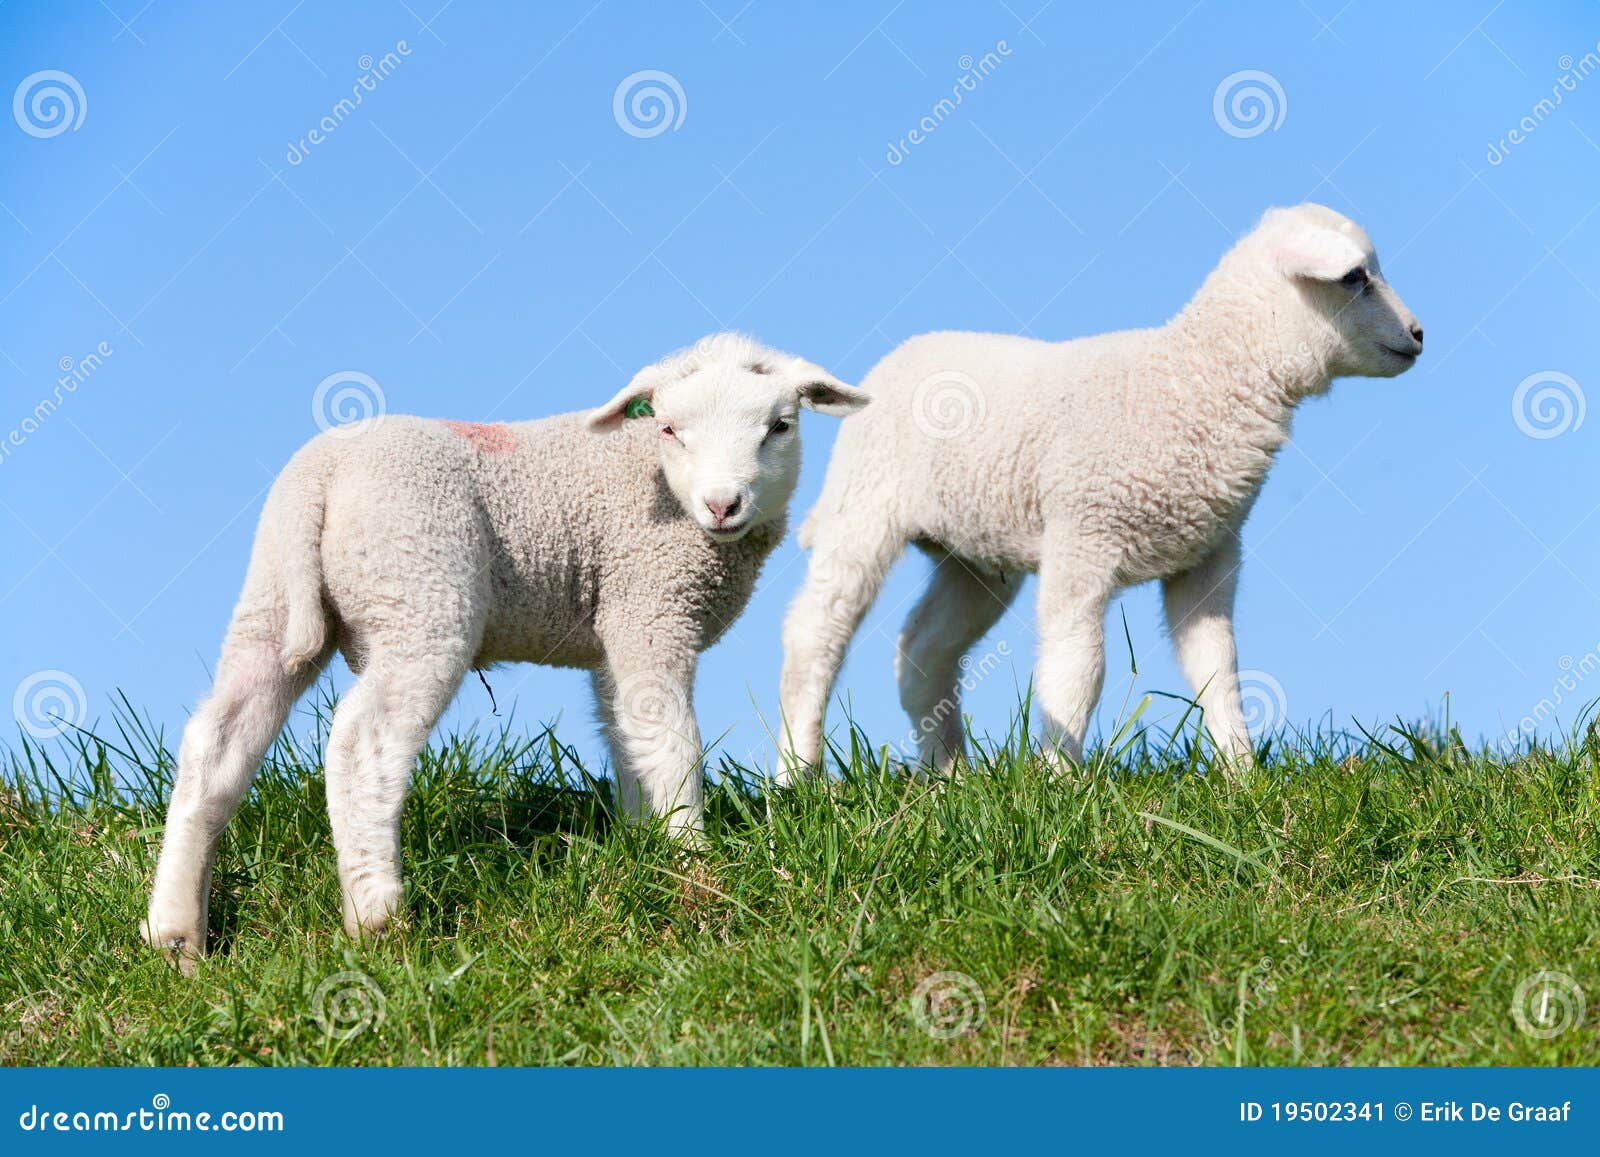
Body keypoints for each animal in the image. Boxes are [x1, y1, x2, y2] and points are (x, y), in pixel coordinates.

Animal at [142, 332, 866, 965]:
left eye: (780, 426)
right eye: (669, 429)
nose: (723, 504)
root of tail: (320, 475)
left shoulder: (614, 629)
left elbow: (628, 739)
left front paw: (646, 847)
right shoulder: (650, 607)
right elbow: (671, 741)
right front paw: (694, 861)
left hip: (271, 600)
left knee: (217, 742)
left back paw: (177, 937)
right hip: (421, 595)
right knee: (361, 743)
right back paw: (378, 917)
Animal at [778, 204, 1423, 776]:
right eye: (1356, 277)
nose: (1419, 334)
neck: (1200, 379)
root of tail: (905, 351)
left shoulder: (1208, 555)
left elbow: (1219, 670)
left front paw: (1242, 779)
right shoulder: (1083, 536)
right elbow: (1077, 673)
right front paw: (1059, 784)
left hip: (976, 555)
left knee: (925, 649)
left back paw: (949, 776)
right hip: (863, 508)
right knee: (813, 638)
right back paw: (798, 776)